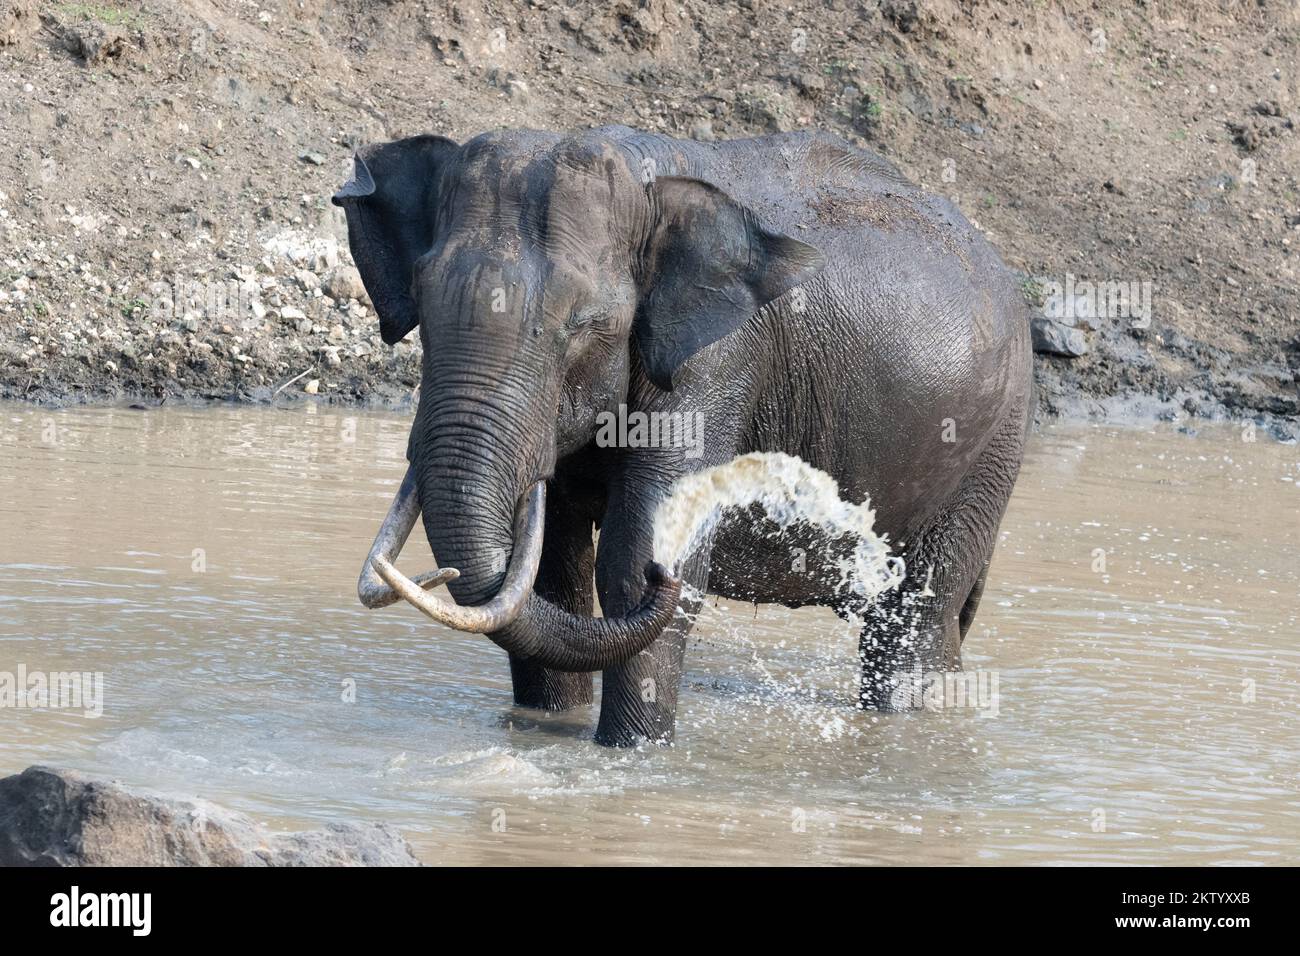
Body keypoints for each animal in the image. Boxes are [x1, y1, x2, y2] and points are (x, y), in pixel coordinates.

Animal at [336, 125, 1032, 747]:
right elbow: (546, 571)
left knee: (917, 613)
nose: (661, 575)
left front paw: (632, 754)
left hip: (993, 445)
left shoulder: (718, 362)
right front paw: (544, 731)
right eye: (421, 300)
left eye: (584, 324)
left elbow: (633, 555)